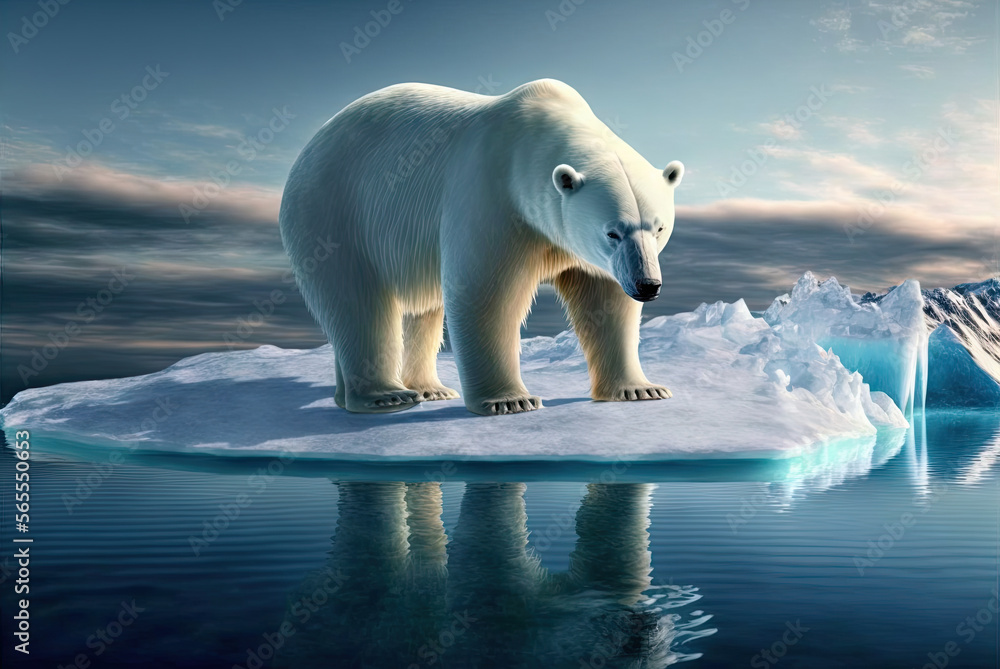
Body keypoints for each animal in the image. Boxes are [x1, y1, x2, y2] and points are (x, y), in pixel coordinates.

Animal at [279, 79, 684, 416]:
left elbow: (606, 302)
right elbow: (486, 293)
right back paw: (387, 396)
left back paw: (425, 390)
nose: (648, 285)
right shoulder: (493, 199)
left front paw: (641, 390)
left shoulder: (578, 246)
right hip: (335, 211)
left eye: (659, 227)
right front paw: (510, 400)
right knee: (358, 302)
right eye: (612, 232)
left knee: (421, 309)